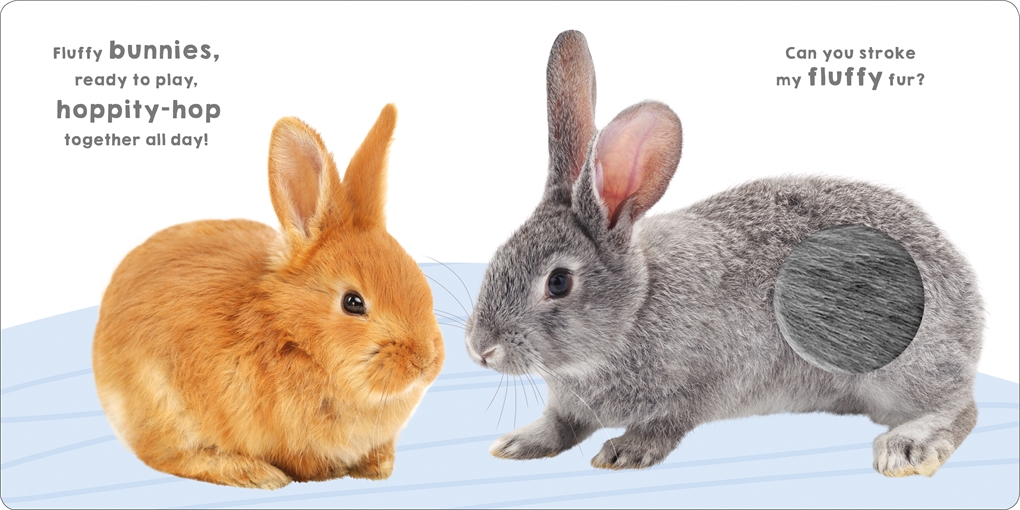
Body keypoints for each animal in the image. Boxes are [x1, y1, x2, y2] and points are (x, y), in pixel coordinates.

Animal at [464, 30, 983, 478]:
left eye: (558, 282)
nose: (480, 349)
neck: (635, 308)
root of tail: (972, 315)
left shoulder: (705, 383)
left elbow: (667, 423)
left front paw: (624, 451)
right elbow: (560, 423)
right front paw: (519, 442)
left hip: (897, 366)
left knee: (960, 406)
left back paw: (907, 447)